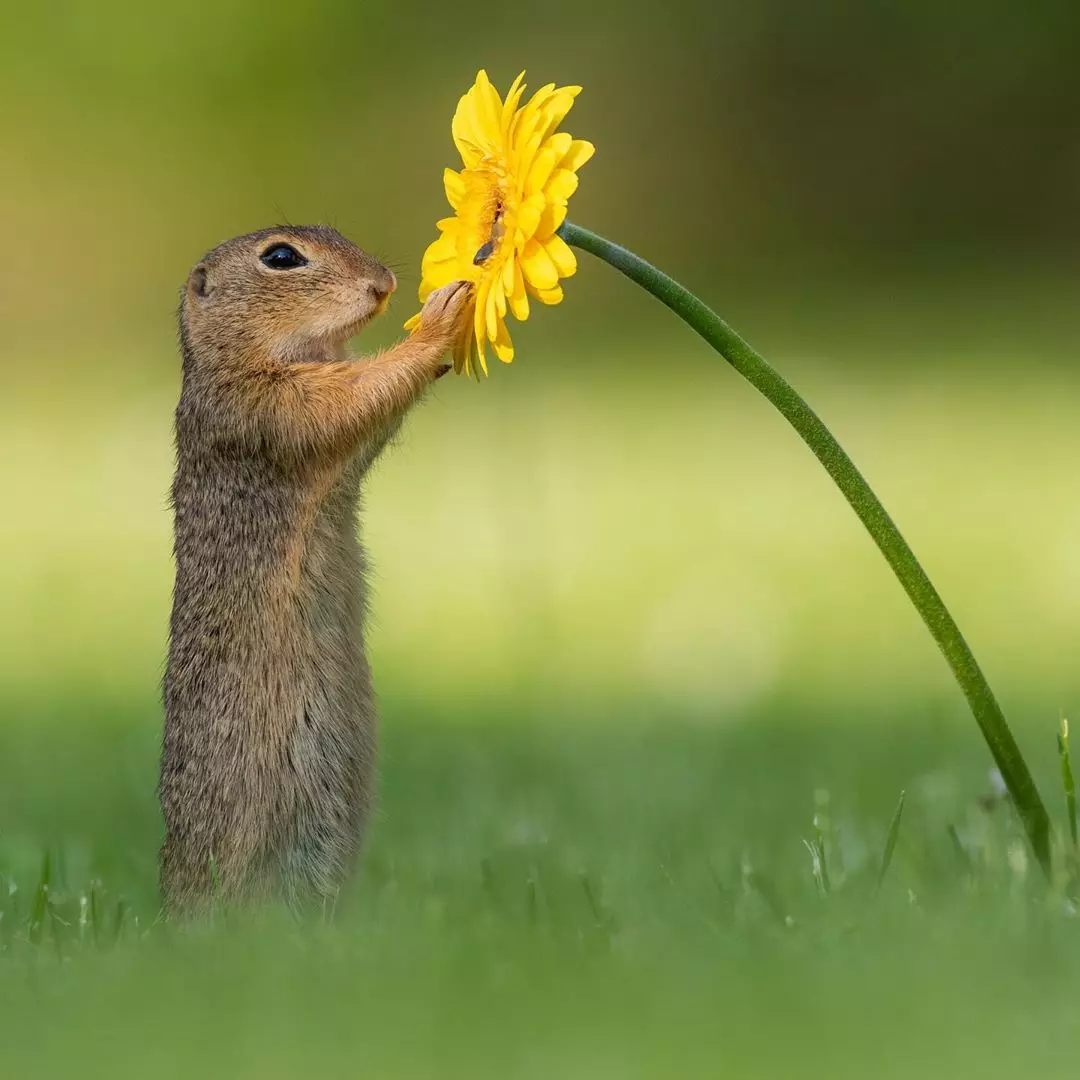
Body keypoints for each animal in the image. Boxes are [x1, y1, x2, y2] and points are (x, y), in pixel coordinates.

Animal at [157, 225, 470, 911]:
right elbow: (354, 395)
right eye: (281, 257)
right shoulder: (270, 406)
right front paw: (440, 321)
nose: (384, 282)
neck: (231, 360)